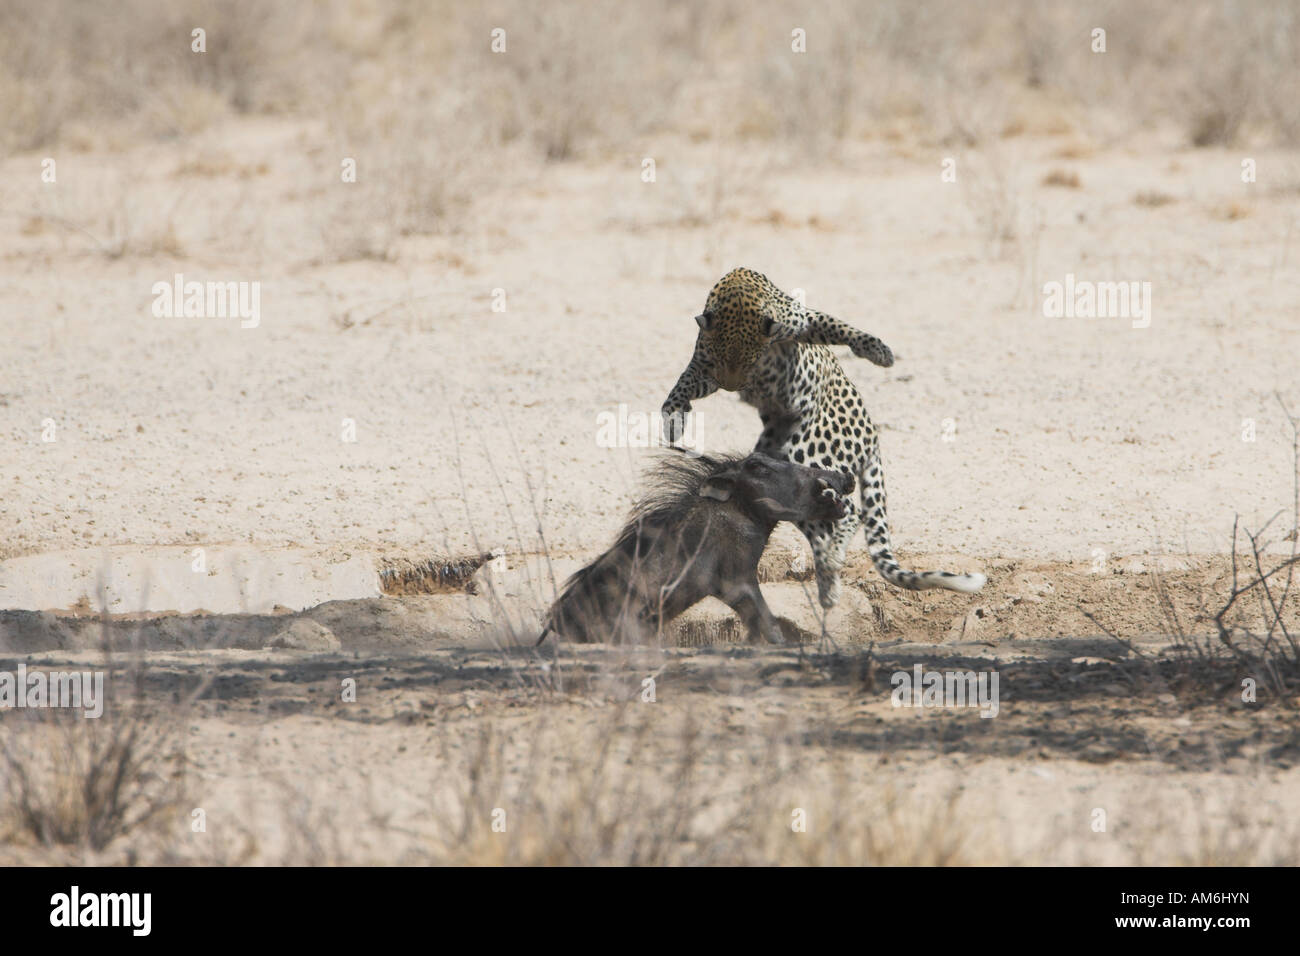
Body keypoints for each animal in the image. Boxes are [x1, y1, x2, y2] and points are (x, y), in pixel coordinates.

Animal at [661, 266, 986, 609]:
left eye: (751, 361)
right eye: (721, 360)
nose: (732, 387)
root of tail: (873, 436)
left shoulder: (800, 322)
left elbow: (836, 326)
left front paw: (878, 351)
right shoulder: (703, 366)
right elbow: (683, 384)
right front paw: (673, 419)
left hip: (809, 451)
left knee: (852, 512)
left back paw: (831, 565)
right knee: (824, 517)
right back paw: (828, 579)